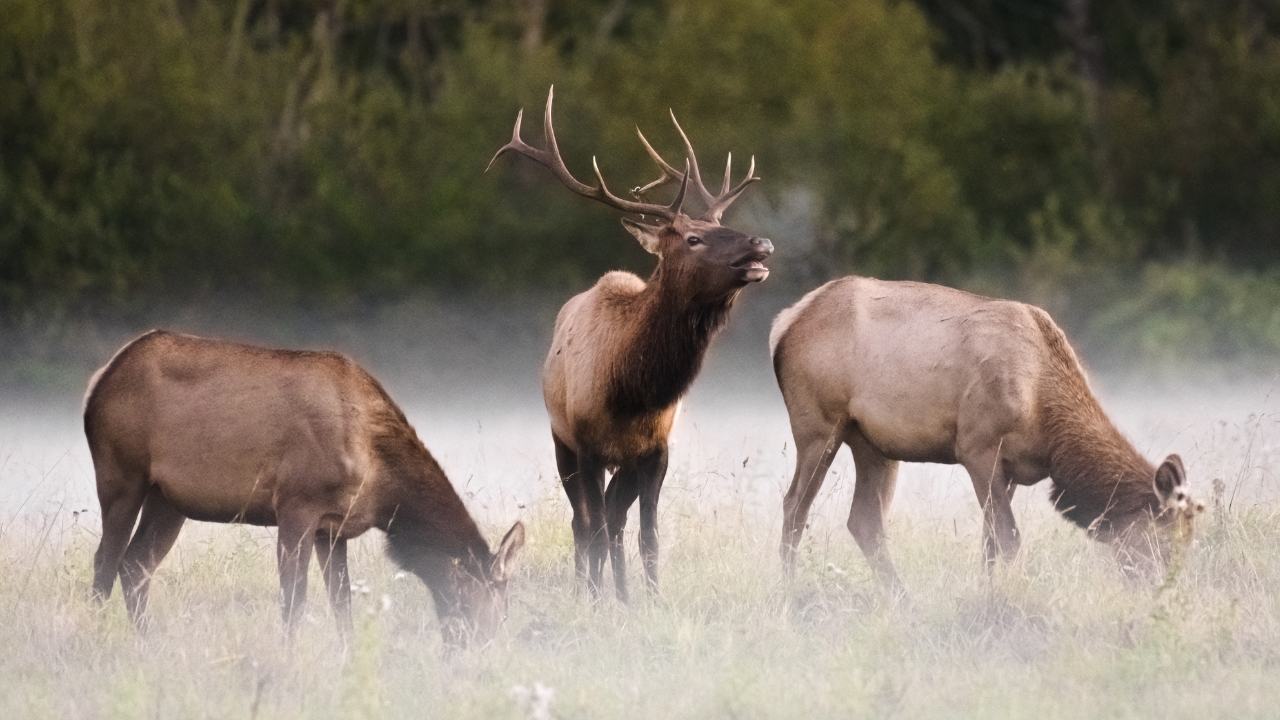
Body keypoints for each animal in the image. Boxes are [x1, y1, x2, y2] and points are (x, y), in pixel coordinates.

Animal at [83, 330, 525, 648]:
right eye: (487, 606)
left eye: (506, 613)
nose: (482, 651)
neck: (380, 485)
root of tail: (98, 381)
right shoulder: (296, 504)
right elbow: (294, 601)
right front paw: (288, 657)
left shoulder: (333, 529)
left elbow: (342, 603)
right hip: (121, 475)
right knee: (104, 563)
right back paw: (97, 643)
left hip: (168, 499)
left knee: (135, 565)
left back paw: (150, 644)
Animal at [488, 88, 773, 601]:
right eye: (694, 238)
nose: (761, 244)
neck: (630, 393)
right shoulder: (585, 445)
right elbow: (594, 529)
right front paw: (594, 600)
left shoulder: (656, 450)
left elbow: (648, 536)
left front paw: (650, 599)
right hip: (561, 442)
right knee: (584, 522)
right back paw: (591, 588)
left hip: (625, 465)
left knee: (616, 520)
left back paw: (620, 592)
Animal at [770, 276, 1204, 593]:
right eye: (1164, 543)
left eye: (1189, 545)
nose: (1166, 593)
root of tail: (784, 323)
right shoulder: (978, 447)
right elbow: (1008, 538)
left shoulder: (1009, 470)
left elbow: (989, 543)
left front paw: (987, 594)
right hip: (818, 425)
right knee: (794, 506)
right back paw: (790, 594)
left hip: (873, 443)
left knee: (864, 521)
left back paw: (901, 600)